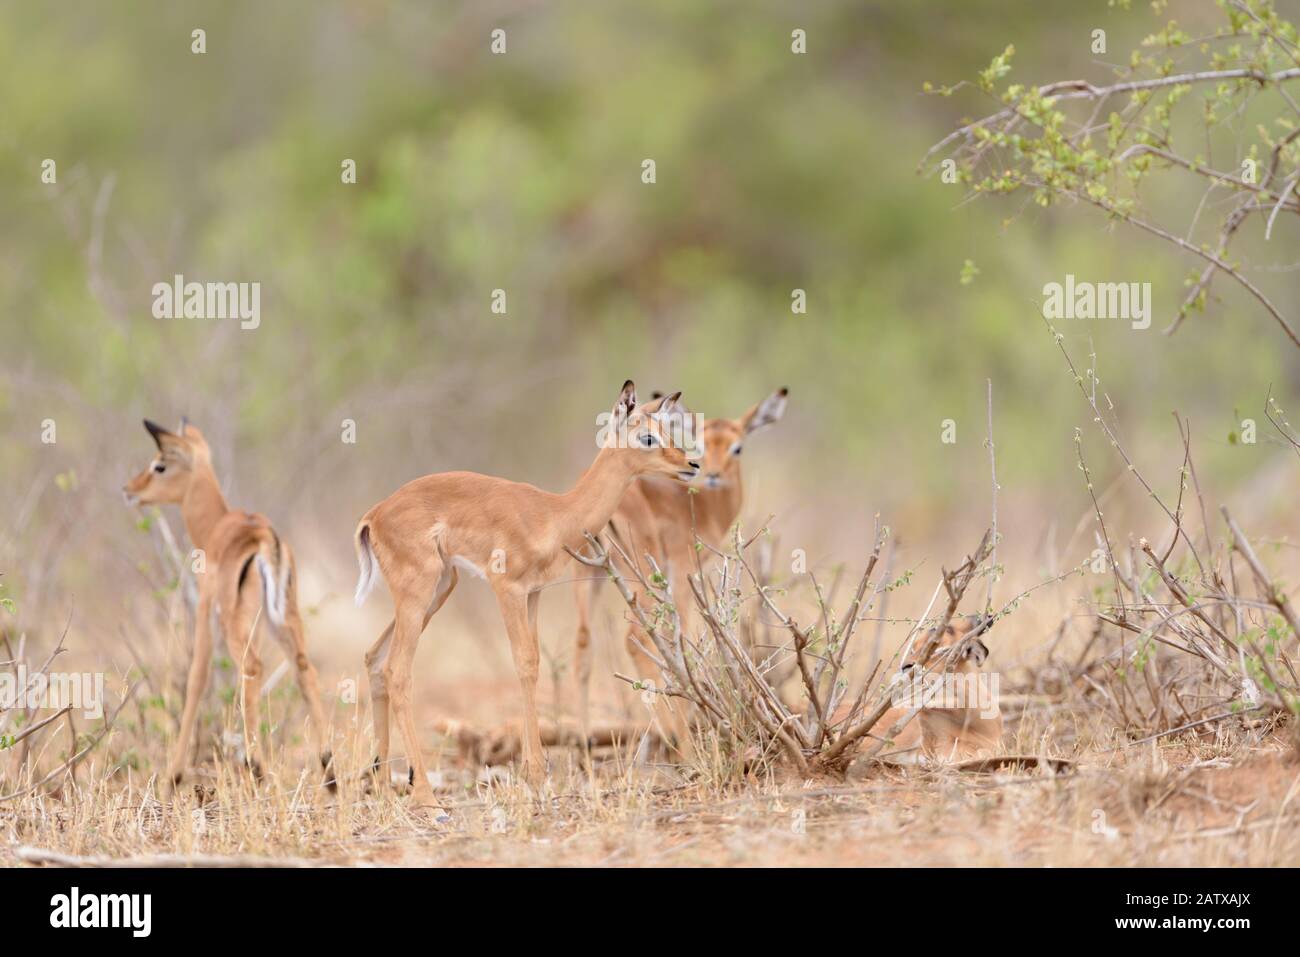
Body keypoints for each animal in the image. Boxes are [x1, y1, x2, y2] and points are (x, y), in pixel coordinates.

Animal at [122, 419, 333, 787]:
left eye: (159, 464)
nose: (130, 489)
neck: (214, 528)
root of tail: (264, 538)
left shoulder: (206, 610)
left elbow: (197, 678)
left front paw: (174, 775)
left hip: (236, 622)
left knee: (252, 666)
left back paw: (257, 766)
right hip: (283, 618)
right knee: (303, 667)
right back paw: (327, 768)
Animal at [353, 381, 699, 818]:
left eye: (669, 431)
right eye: (648, 437)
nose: (691, 464)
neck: (554, 514)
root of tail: (373, 515)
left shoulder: (533, 594)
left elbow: (532, 665)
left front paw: (538, 778)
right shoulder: (509, 590)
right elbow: (525, 665)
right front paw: (535, 777)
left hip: (440, 588)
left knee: (374, 659)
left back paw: (383, 788)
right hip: (419, 593)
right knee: (398, 671)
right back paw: (427, 798)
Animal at [572, 388, 788, 744]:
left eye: (737, 446)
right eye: (701, 443)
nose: (709, 473)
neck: (700, 506)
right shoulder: (684, 569)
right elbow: (683, 640)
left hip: (591, 572)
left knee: (583, 643)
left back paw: (585, 744)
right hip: (640, 574)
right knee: (637, 638)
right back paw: (674, 739)